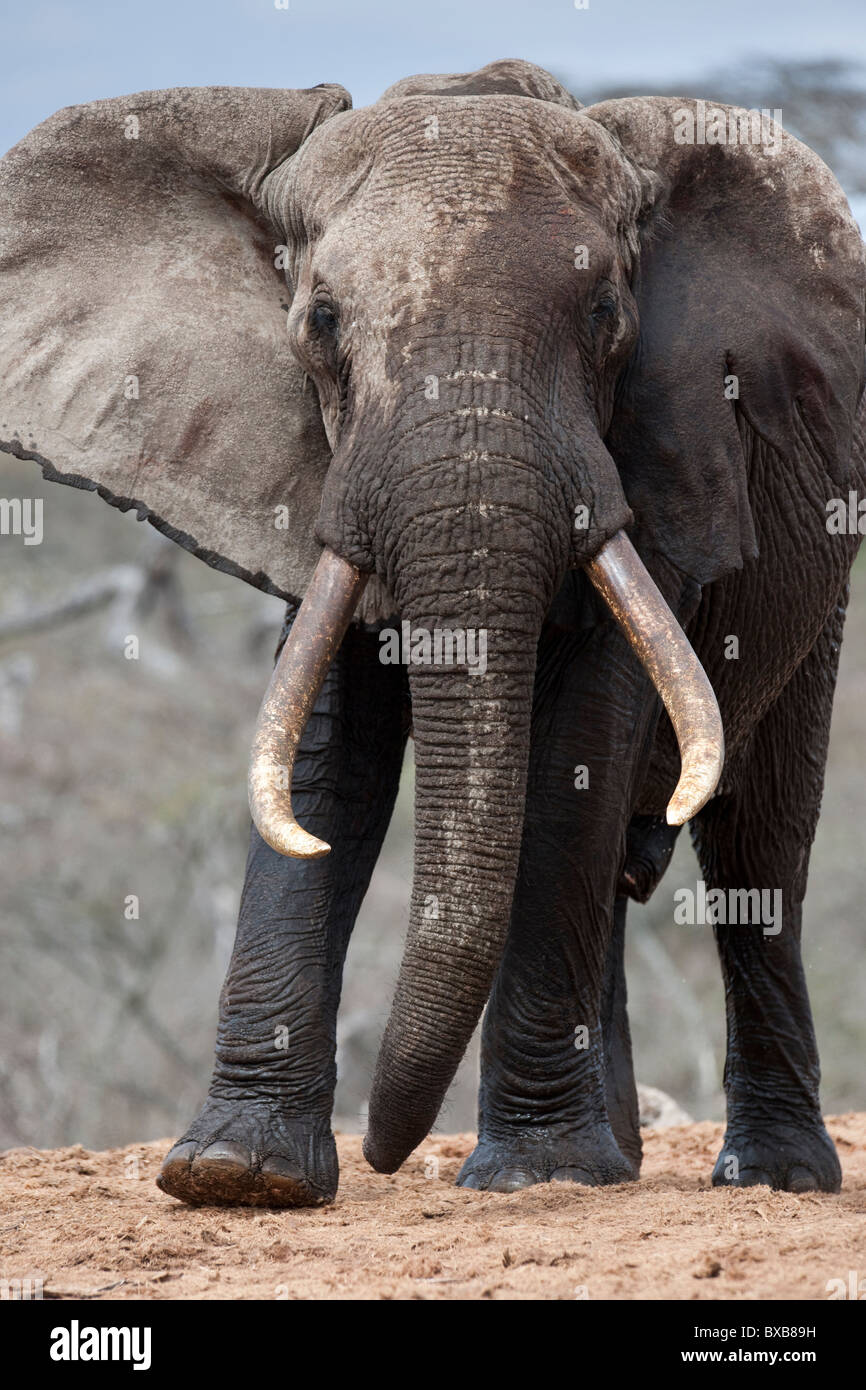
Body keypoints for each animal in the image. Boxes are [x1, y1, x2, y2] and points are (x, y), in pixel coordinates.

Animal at [1, 58, 864, 1208]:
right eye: (320, 320)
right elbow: (328, 748)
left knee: (755, 836)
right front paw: (236, 1174)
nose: (384, 1150)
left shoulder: (660, 453)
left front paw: (531, 1177)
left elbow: (579, 750)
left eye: (605, 312)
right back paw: (617, 1162)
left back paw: (764, 1177)